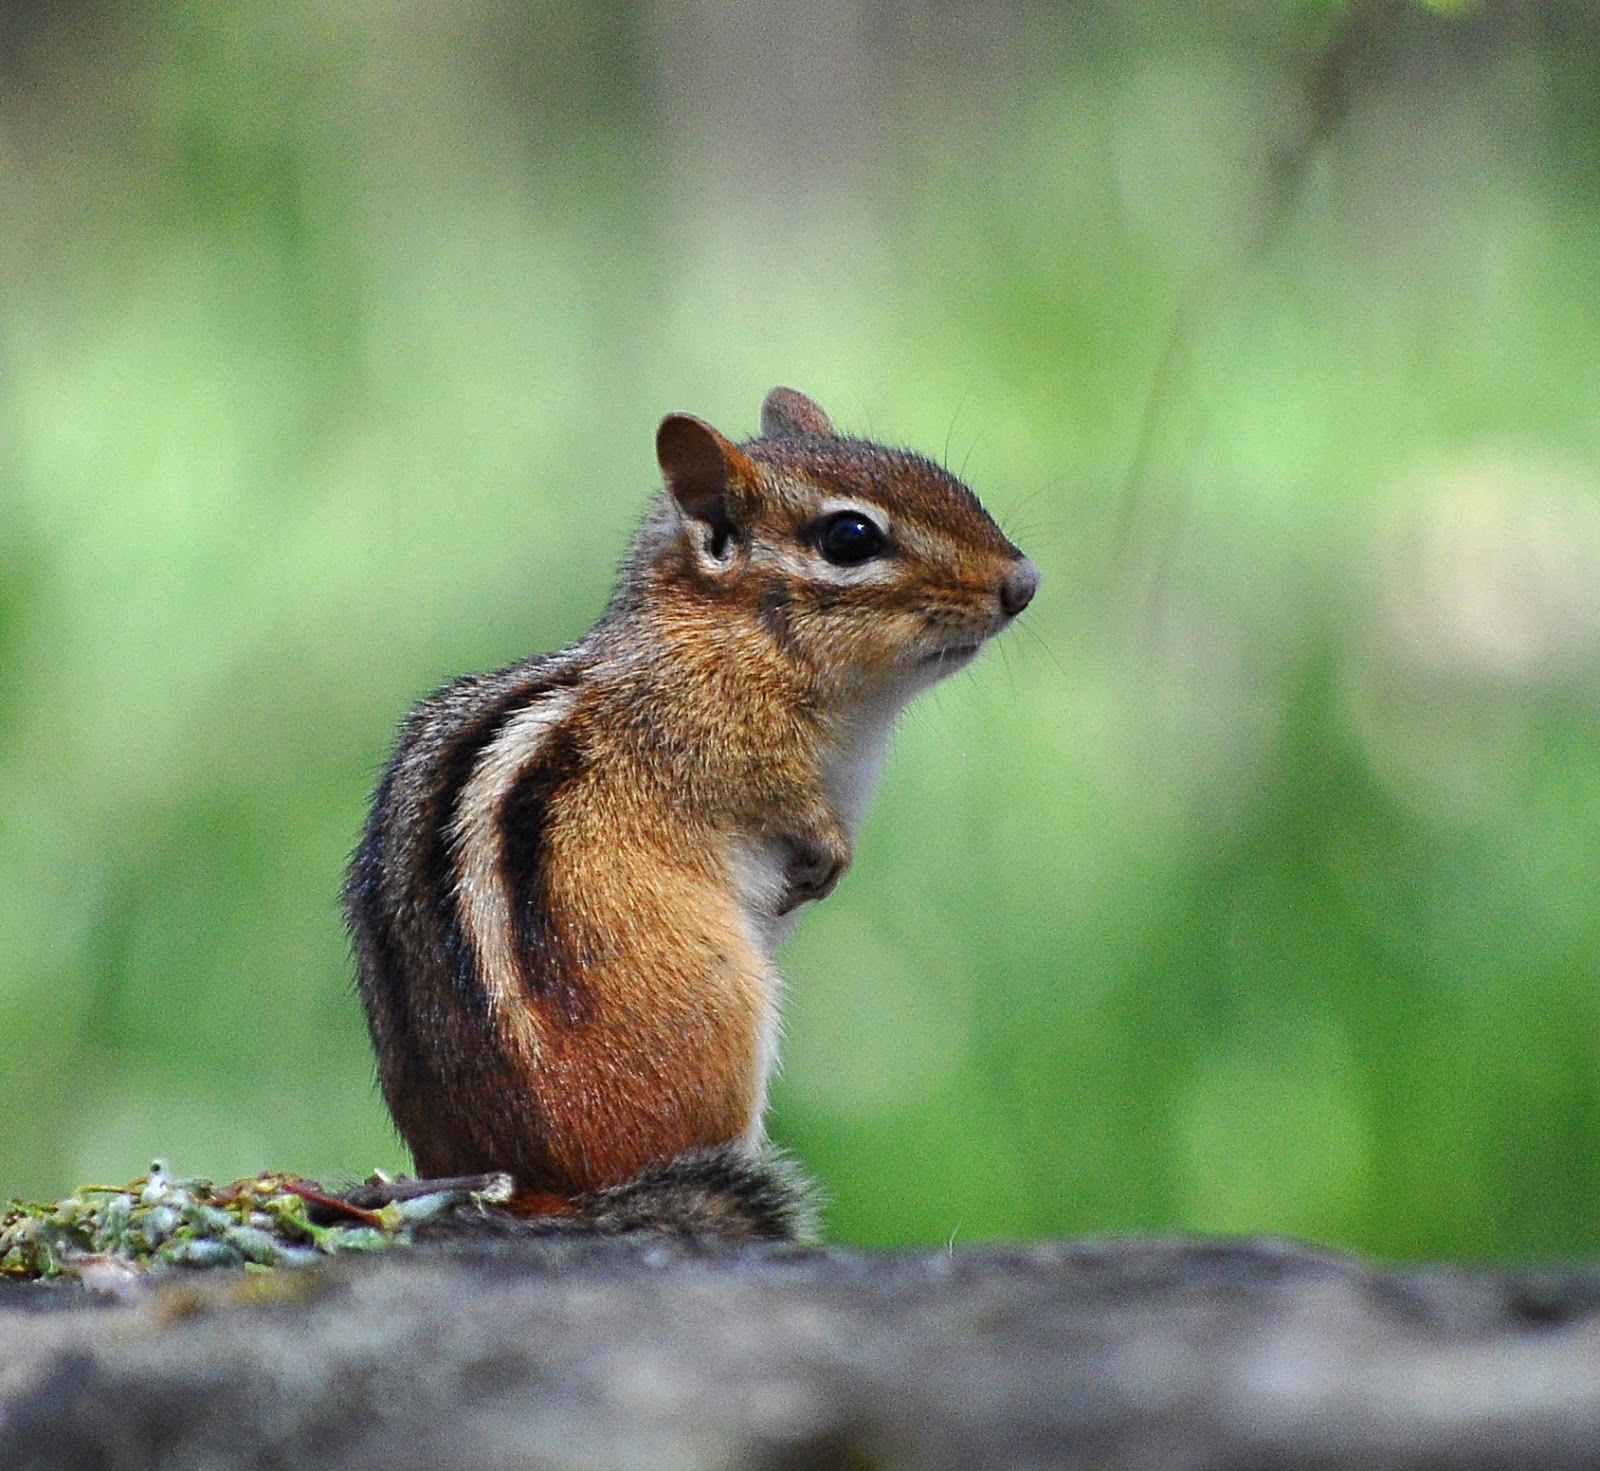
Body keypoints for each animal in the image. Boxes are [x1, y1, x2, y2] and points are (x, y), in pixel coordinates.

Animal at [345, 388, 1038, 1242]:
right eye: (850, 538)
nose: (1024, 582)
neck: (732, 630)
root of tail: (544, 1189)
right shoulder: (720, 740)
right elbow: (780, 795)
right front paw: (828, 851)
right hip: (726, 1009)